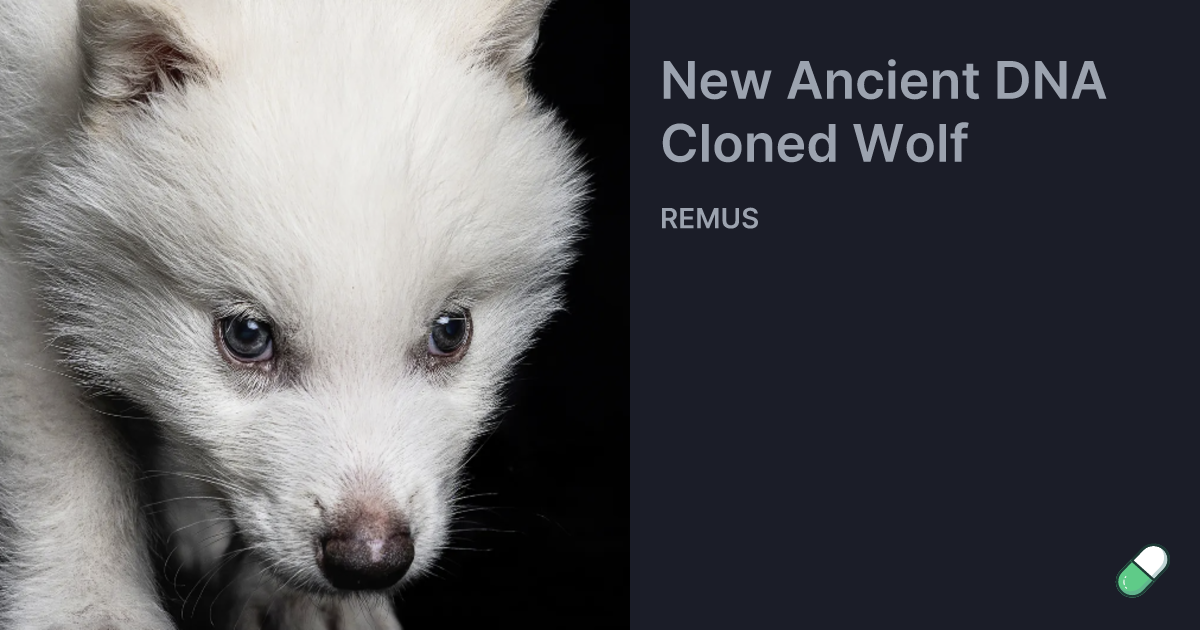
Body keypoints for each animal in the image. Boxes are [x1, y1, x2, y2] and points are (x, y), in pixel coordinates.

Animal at [0, 1, 585, 628]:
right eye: (248, 335)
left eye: (450, 333)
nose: (369, 562)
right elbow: (68, 456)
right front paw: (89, 606)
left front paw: (305, 602)